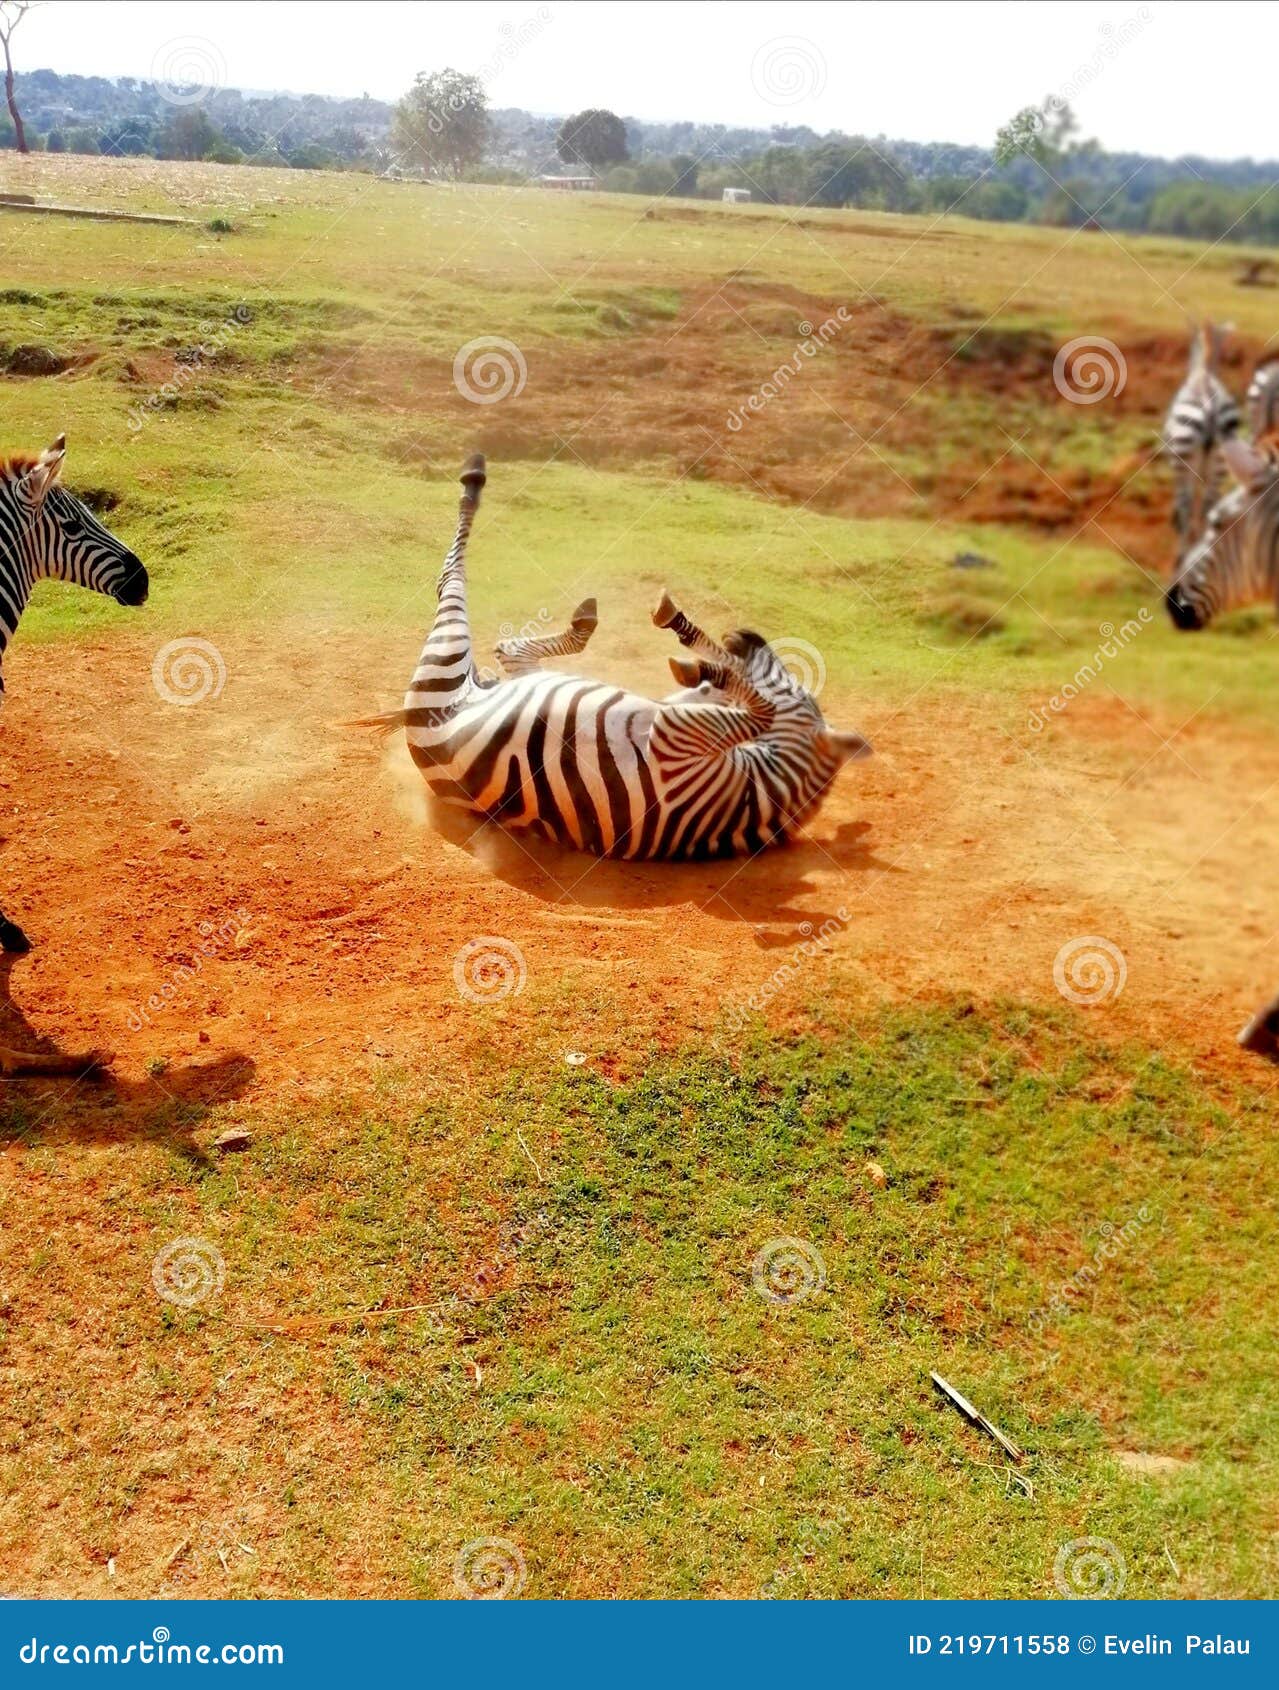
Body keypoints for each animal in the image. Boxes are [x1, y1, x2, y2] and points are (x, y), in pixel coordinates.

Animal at [382, 455, 871, 861]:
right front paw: (700, 662)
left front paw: (691, 650)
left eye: (795, 686)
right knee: (513, 651)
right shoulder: (679, 719)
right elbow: (734, 694)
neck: (761, 787)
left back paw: (472, 482)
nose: (747, 635)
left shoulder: (675, 736)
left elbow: (762, 707)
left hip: (443, 656)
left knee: (455, 587)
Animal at [1162, 321, 1241, 552]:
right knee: (1209, 504)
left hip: (1185, 453)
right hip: (1222, 457)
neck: (1202, 371)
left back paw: (1182, 553)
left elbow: (1184, 500)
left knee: (1187, 503)